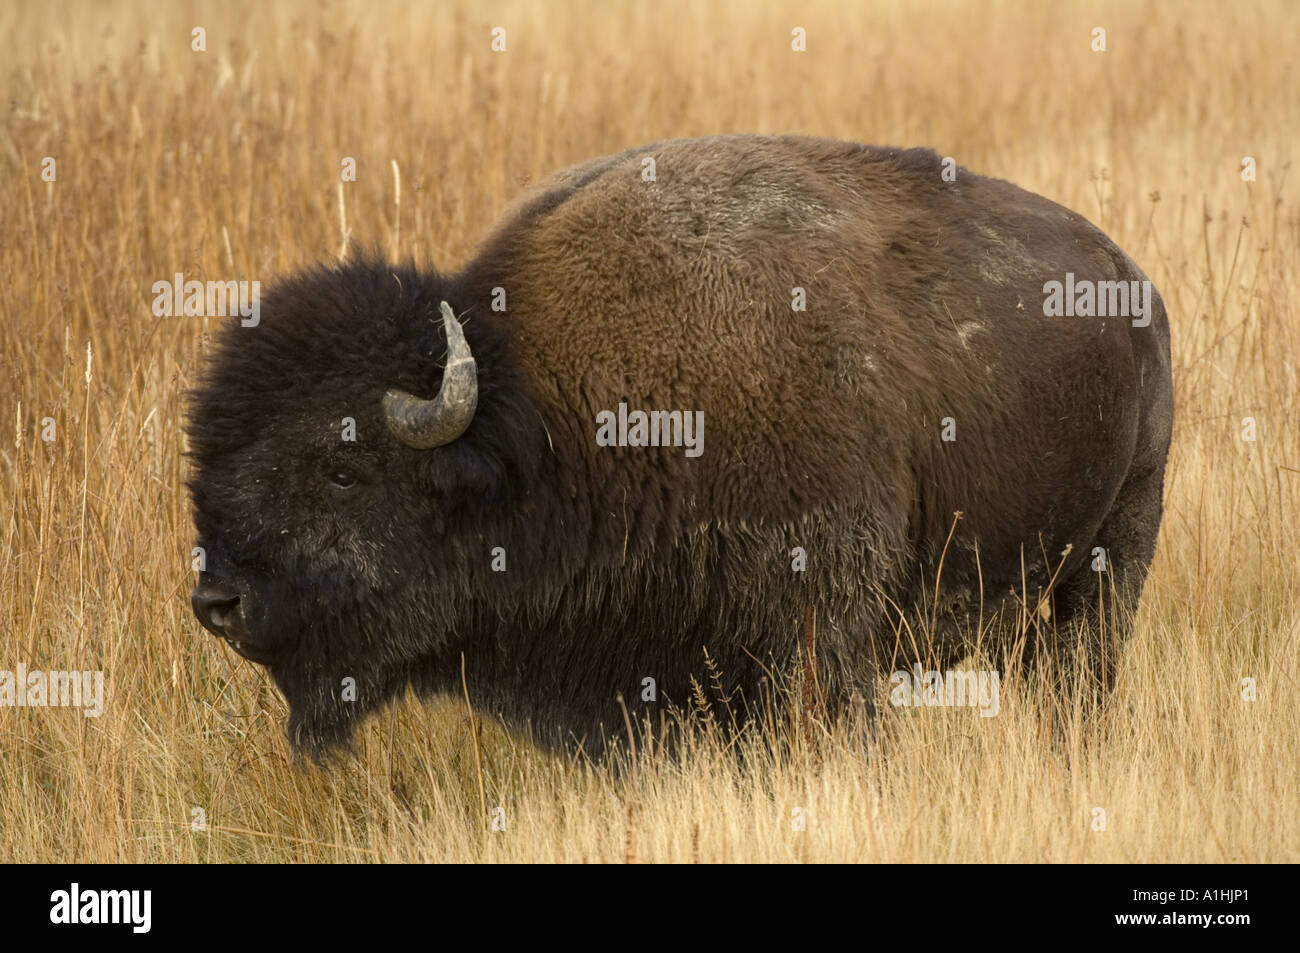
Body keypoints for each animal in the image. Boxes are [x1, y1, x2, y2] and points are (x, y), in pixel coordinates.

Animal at [187, 135, 1173, 759]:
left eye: (342, 469)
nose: (218, 601)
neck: (544, 418)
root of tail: (1132, 283)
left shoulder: (821, 632)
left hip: (1116, 551)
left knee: (1083, 673)